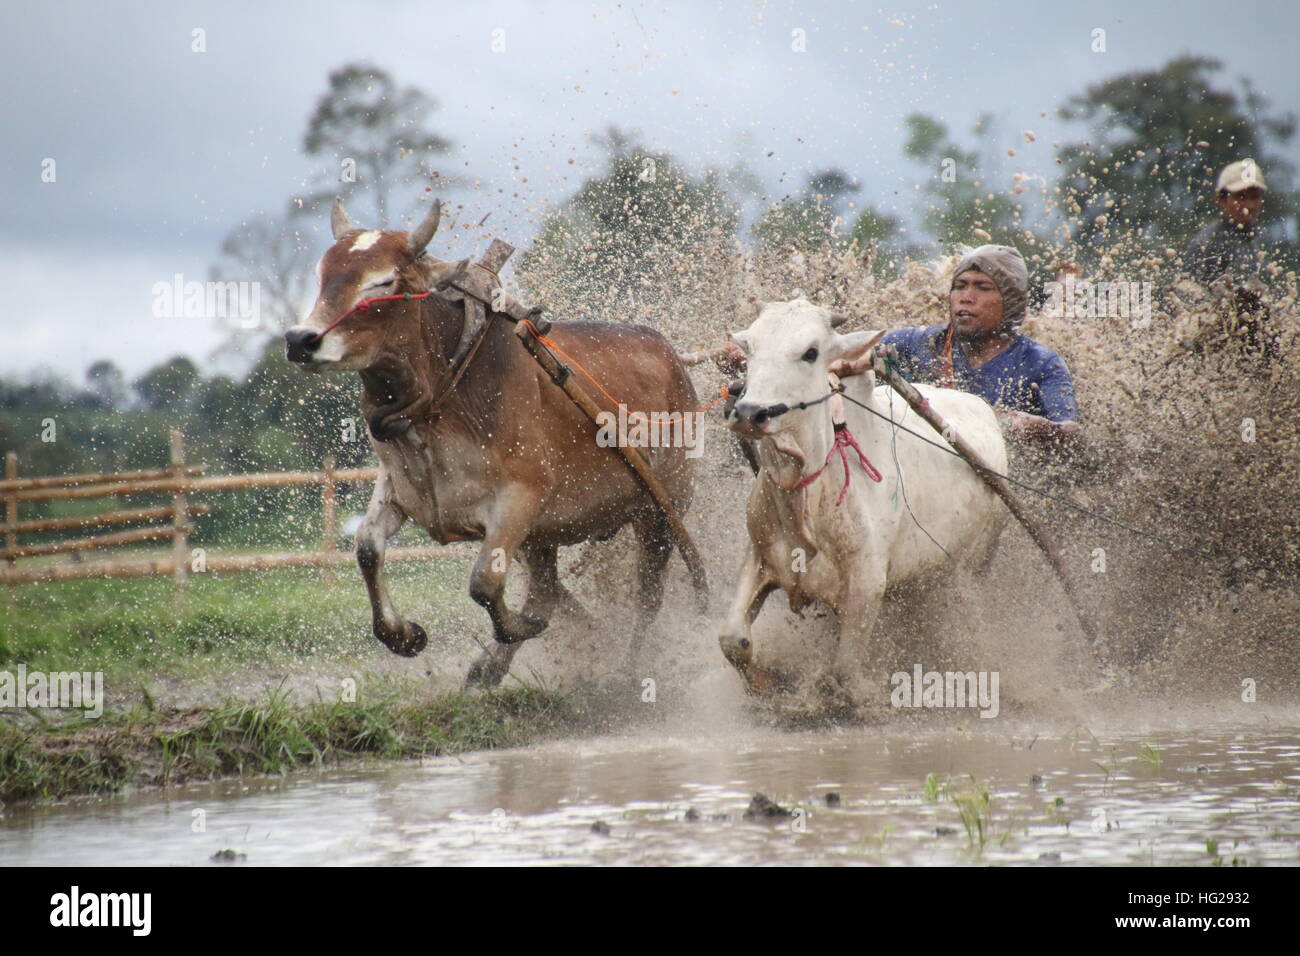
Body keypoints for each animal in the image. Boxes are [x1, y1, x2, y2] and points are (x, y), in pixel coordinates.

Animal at [286, 197, 702, 686]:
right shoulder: (399, 485)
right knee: (549, 590)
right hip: (549, 537)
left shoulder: (520, 499)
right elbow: (368, 549)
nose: (301, 340)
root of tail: (672, 357)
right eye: (324, 274)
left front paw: (520, 627)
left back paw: (628, 670)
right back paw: (493, 664)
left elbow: (485, 583)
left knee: (647, 599)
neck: (440, 390)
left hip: (659, 514)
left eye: (384, 281)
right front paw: (405, 635)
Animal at [722, 303, 1003, 697]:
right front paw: (766, 684)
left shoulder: (867, 586)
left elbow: (842, 671)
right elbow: (733, 640)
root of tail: (982, 407)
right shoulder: (760, 556)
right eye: (749, 347)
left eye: (811, 352)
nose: (750, 413)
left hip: (972, 564)